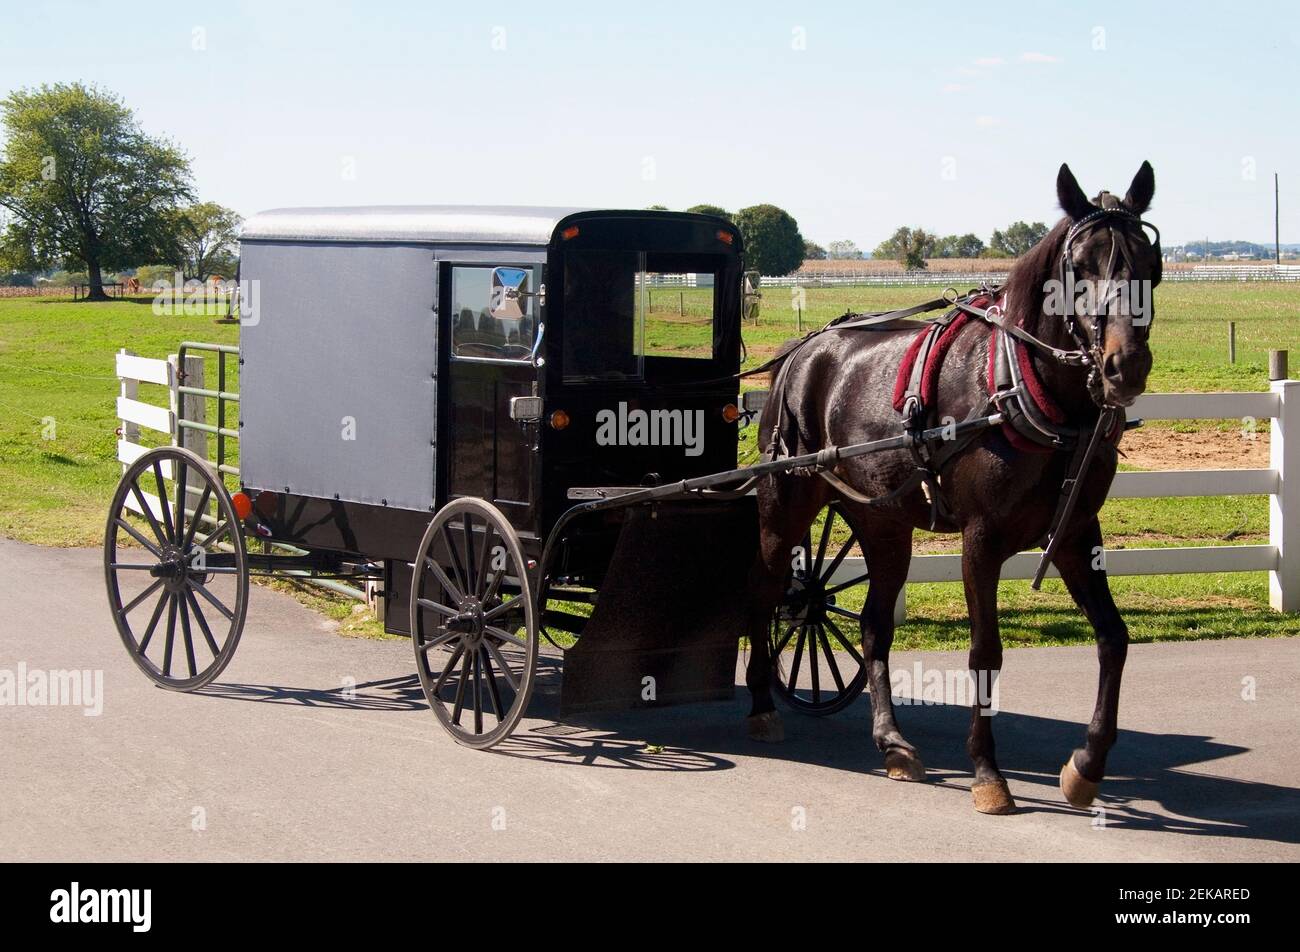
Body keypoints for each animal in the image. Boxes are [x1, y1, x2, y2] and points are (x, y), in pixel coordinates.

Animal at [744, 162, 1161, 815]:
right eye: (1080, 266)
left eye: (1148, 260)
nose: (1125, 365)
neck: (1021, 385)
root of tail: (805, 347)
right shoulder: (980, 539)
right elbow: (985, 652)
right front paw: (988, 773)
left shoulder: (1074, 535)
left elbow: (1113, 639)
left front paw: (1086, 765)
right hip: (782, 506)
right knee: (764, 596)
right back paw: (763, 706)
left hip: (883, 523)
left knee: (872, 625)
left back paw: (892, 743)